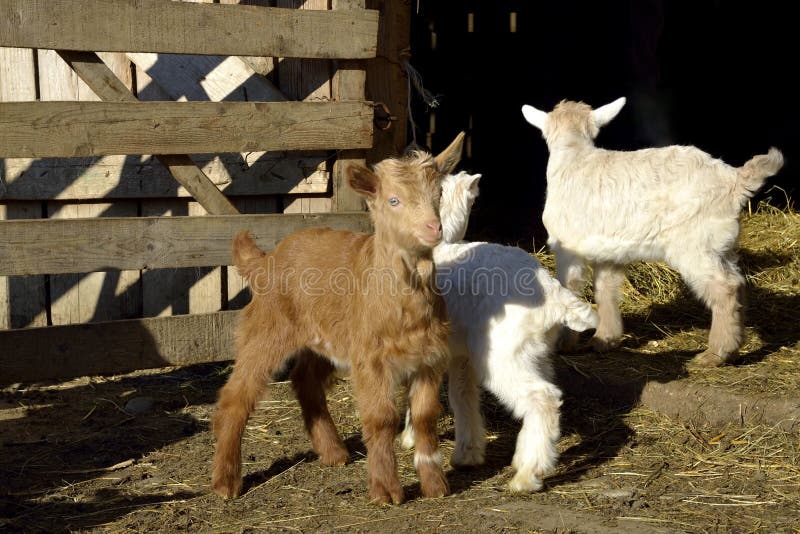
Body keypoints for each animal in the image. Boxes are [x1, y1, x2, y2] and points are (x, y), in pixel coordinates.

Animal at [211, 132, 465, 504]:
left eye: (439, 195)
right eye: (393, 200)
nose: (434, 227)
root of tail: (267, 259)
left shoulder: (429, 359)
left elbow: (424, 417)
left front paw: (435, 486)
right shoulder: (370, 359)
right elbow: (381, 419)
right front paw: (385, 491)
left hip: (323, 339)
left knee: (305, 380)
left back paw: (333, 453)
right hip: (266, 329)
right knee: (237, 395)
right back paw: (226, 482)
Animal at [400, 171, 599, 492]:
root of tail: (556, 297)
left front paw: (408, 437)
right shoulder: (461, 357)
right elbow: (462, 397)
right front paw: (467, 453)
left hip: (502, 357)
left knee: (543, 398)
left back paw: (527, 476)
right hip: (532, 355)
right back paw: (524, 459)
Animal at [522, 97, 784, 366]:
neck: (574, 155)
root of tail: (735, 180)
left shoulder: (567, 246)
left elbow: (570, 287)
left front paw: (564, 345)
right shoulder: (608, 250)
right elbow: (606, 289)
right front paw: (604, 340)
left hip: (694, 244)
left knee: (725, 287)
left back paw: (715, 354)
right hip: (721, 245)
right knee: (739, 282)